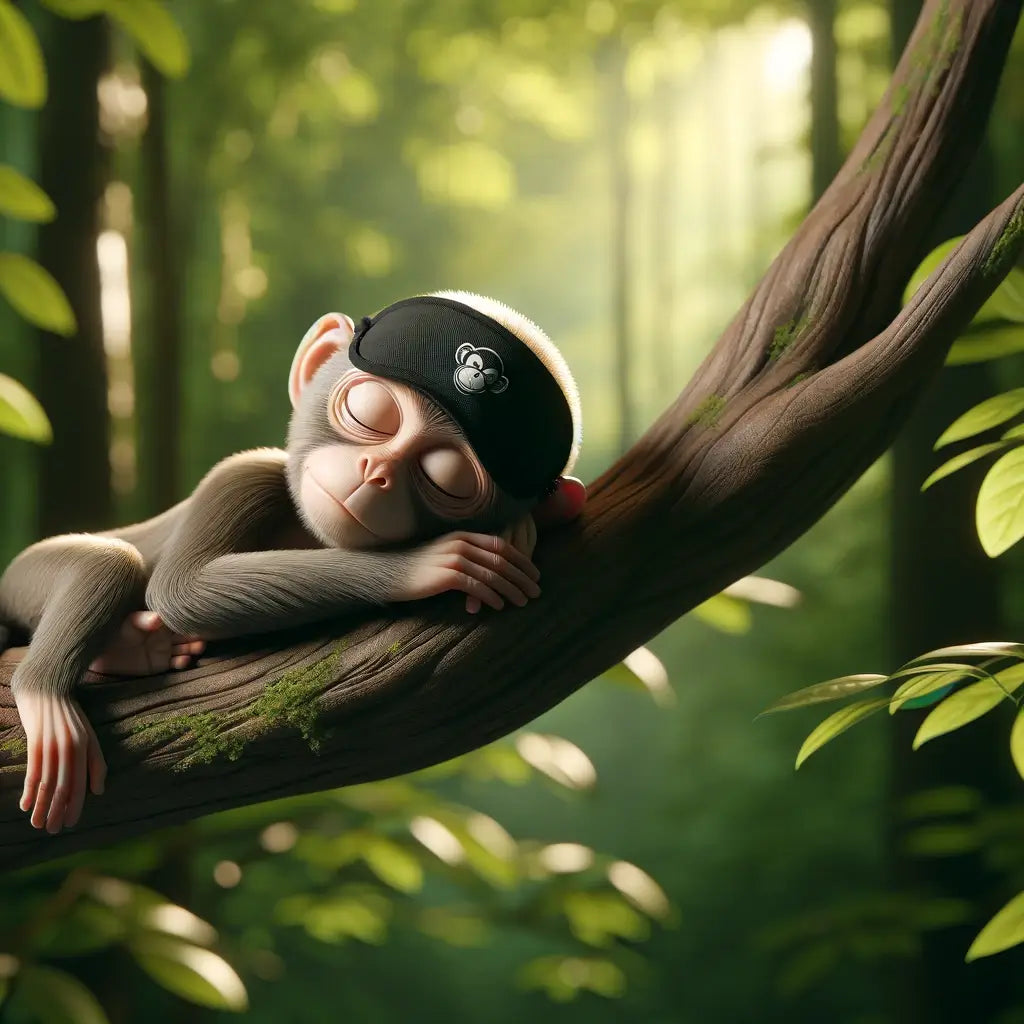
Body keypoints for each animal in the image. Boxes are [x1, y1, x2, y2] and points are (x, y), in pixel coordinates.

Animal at [0, 291, 586, 837]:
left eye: (450, 478)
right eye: (371, 413)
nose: (376, 472)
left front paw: (530, 521)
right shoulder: (243, 476)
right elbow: (184, 589)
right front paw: (428, 562)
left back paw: (142, 647)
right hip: (20, 574)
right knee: (109, 559)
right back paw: (46, 690)